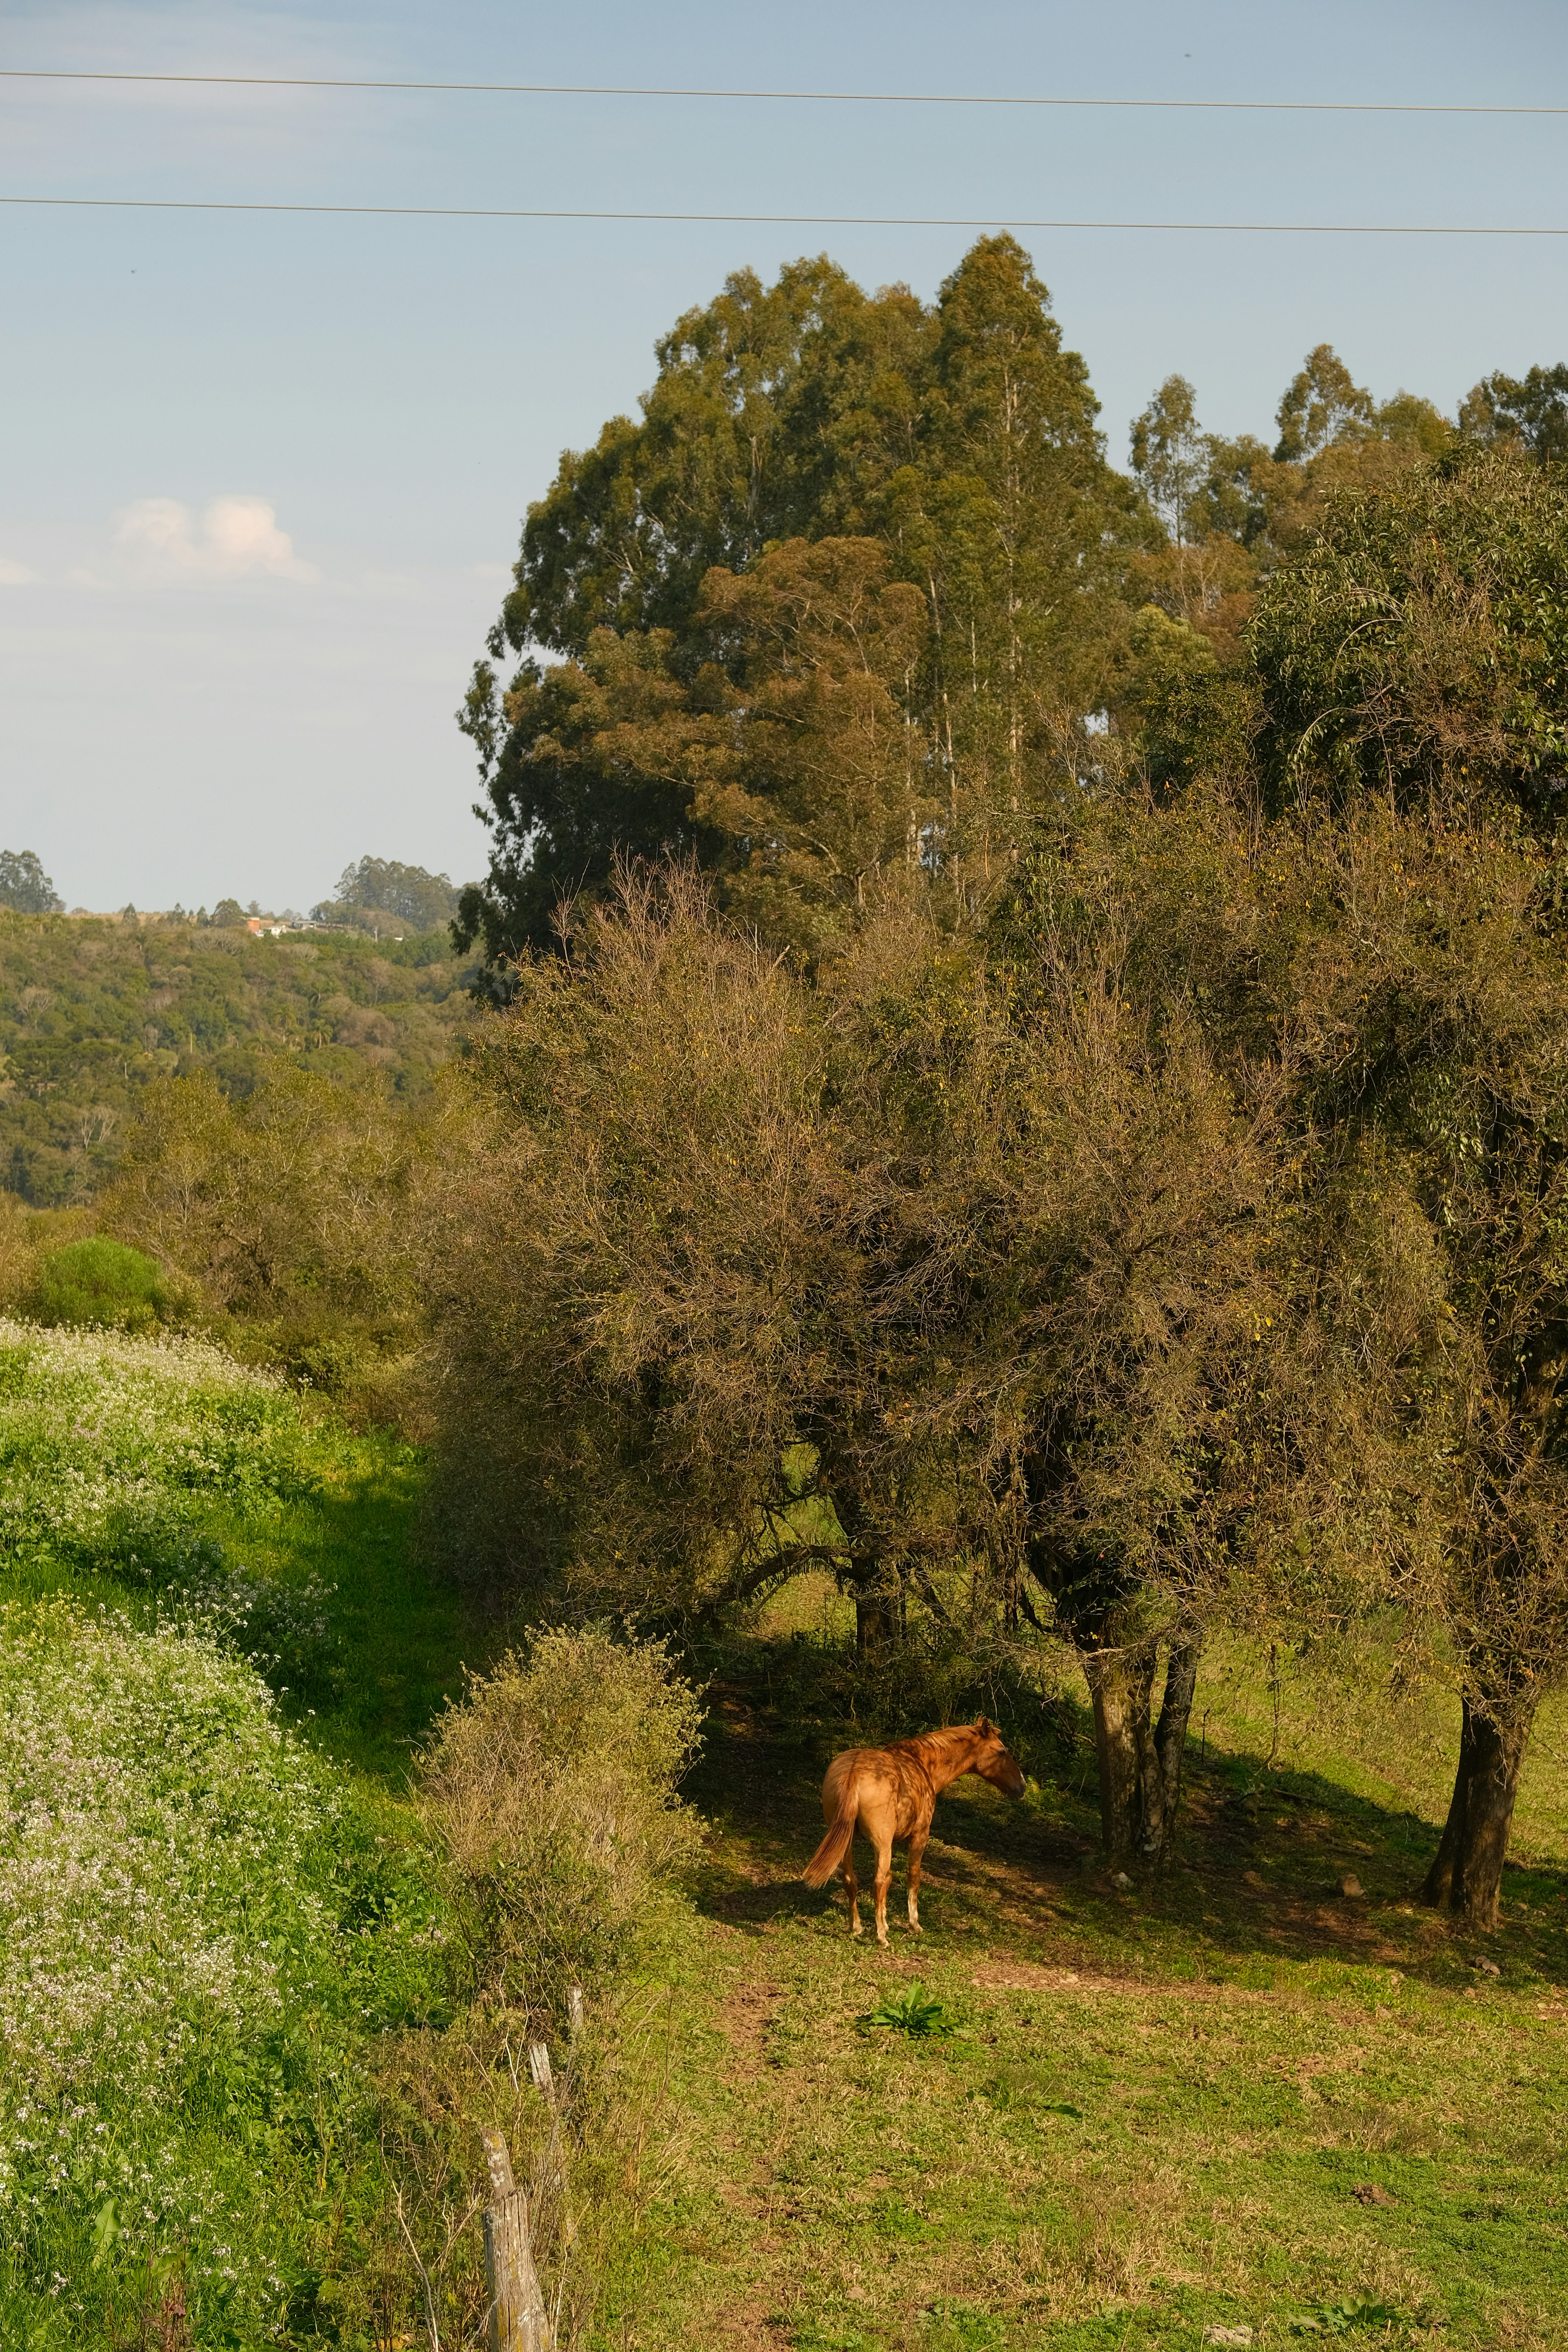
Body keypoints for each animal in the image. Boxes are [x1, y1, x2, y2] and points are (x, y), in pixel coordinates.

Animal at [801, 1716, 1027, 1944]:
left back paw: (856, 1928)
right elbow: (913, 1878)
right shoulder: (920, 1836)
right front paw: (913, 1924)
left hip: (846, 1843)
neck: (921, 1762)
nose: (1022, 1787)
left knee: (851, 1880)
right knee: (879, 1882)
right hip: (882, 1844)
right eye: (1002, 1752)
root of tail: (854, 1773)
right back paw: (881, 1936)